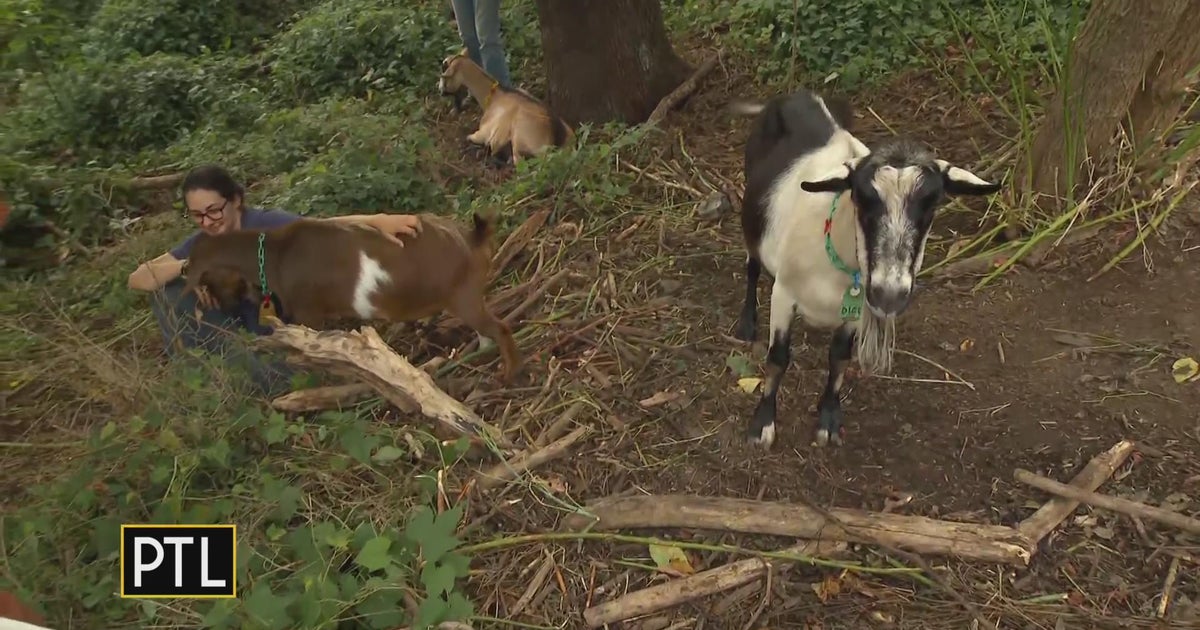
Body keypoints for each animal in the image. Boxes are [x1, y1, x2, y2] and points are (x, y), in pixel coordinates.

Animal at [179, 212, 523, 384]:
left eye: (203, 281)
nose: (224, 310)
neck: (278, 255)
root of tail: (472, 238)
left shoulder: (308, 313)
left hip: (463, 296)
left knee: (501, 328)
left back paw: (507, 375)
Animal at [437, 52, 573, 166]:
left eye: (444, 73)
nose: (441, 91)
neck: (495, 95)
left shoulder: (483, 132)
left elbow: (468, 138)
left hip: (519, 139)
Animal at [731, 89, 1001, 449]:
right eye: (861, 197)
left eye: (932, 204)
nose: (889, 295)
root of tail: (800, 94)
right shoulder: (785, 292)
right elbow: (778, 357)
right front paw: (762, 425)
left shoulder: (856, 307)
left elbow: (839, 357)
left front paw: (829, 419)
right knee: (752, 264)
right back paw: (747, 323)